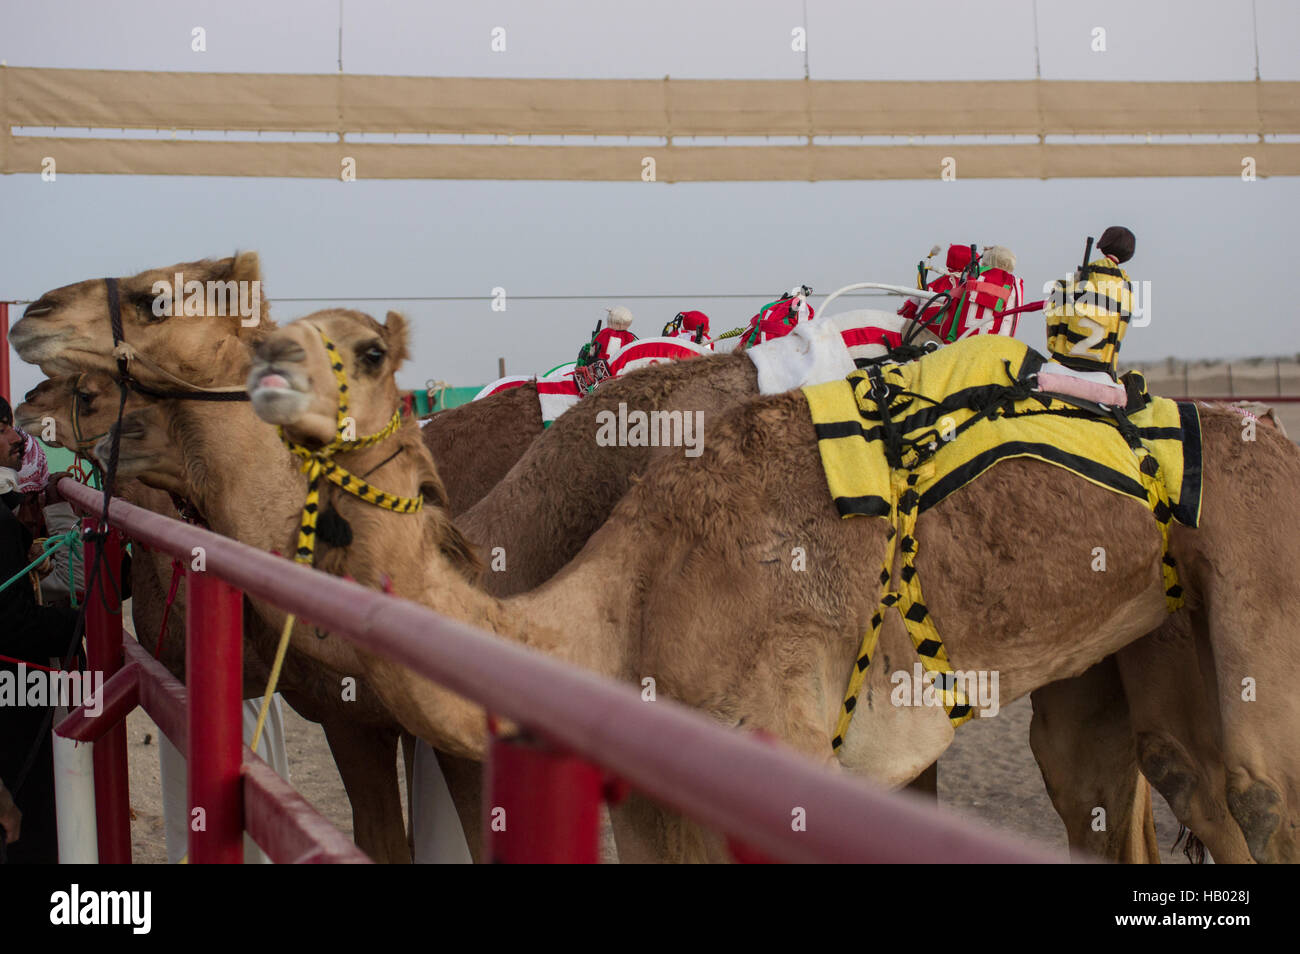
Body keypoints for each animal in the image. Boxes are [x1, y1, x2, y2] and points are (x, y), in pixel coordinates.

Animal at [241, 308, 1300, 863]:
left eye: (365, 351)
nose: (268, 364)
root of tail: (1267, 429)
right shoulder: (651, 807)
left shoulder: (781, 753)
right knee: (1135, 778)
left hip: (1260, 558)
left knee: (1258, 791)